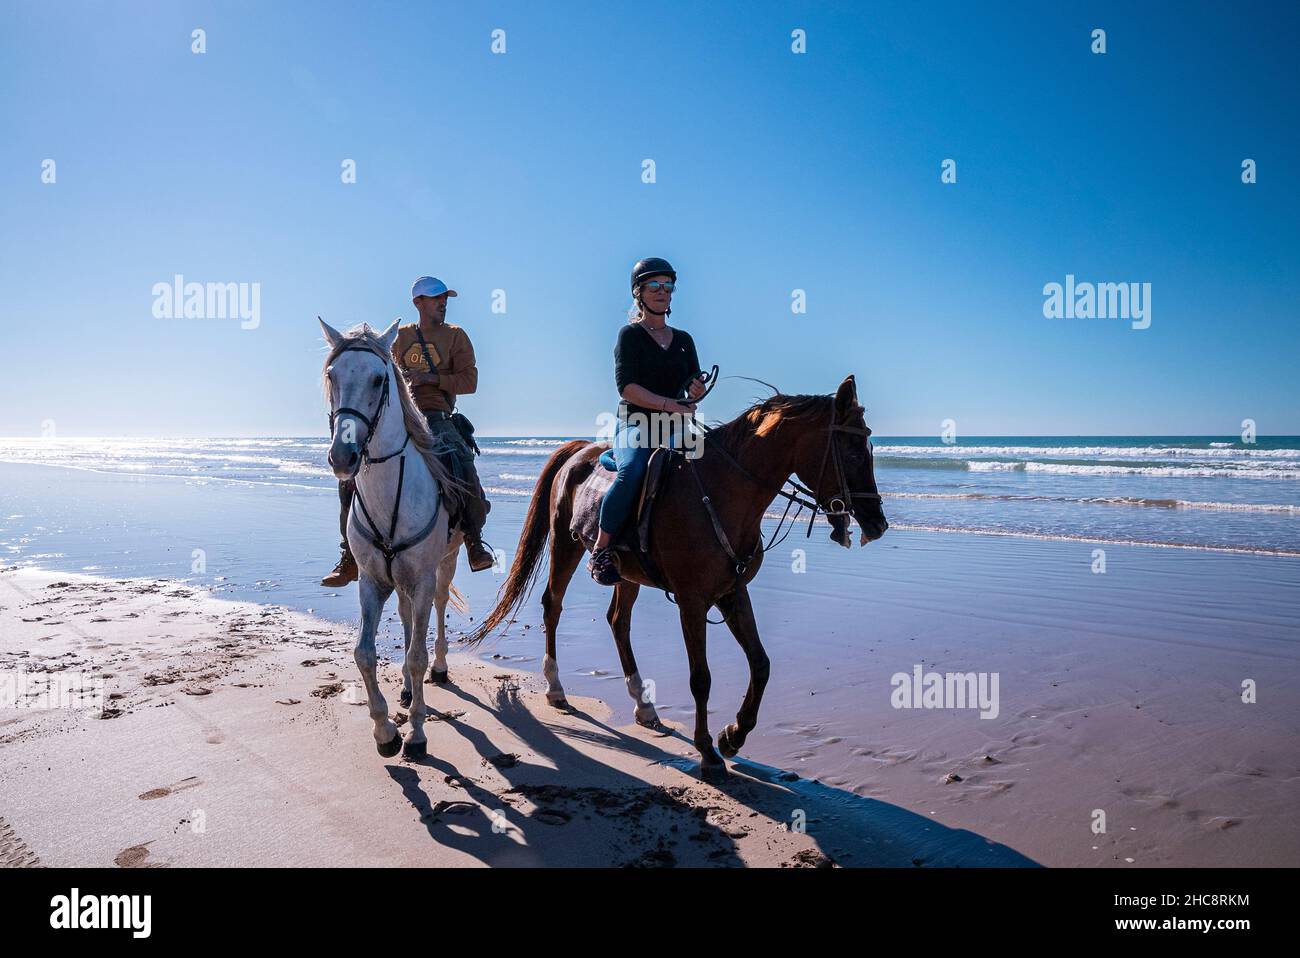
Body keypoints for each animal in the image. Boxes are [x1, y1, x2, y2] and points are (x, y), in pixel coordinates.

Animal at [320, 319, 466, 759]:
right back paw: (403, 689)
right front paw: (385, 731)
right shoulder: (371, 581)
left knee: (437, 607)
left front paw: (416, 735)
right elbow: (364, 653)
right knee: (404, 618)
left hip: (445, 564)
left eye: (378, 378)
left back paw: (439, 668)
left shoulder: (421, 578)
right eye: (332, 376)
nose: (343, 457)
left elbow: (417, 655)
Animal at [467, 374, 887, 778]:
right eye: (852, 450)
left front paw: (733, 735)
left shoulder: (733, 592)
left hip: (627, 573)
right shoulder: (692, 600)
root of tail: (580, 449)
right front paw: (708, 753)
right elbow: (700, 678)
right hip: (564, 546)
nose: (878, 523)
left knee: (618, 621)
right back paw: (556, 689)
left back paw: (645, 706)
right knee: (552, 605)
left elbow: (761, 664)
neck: (722, 493)